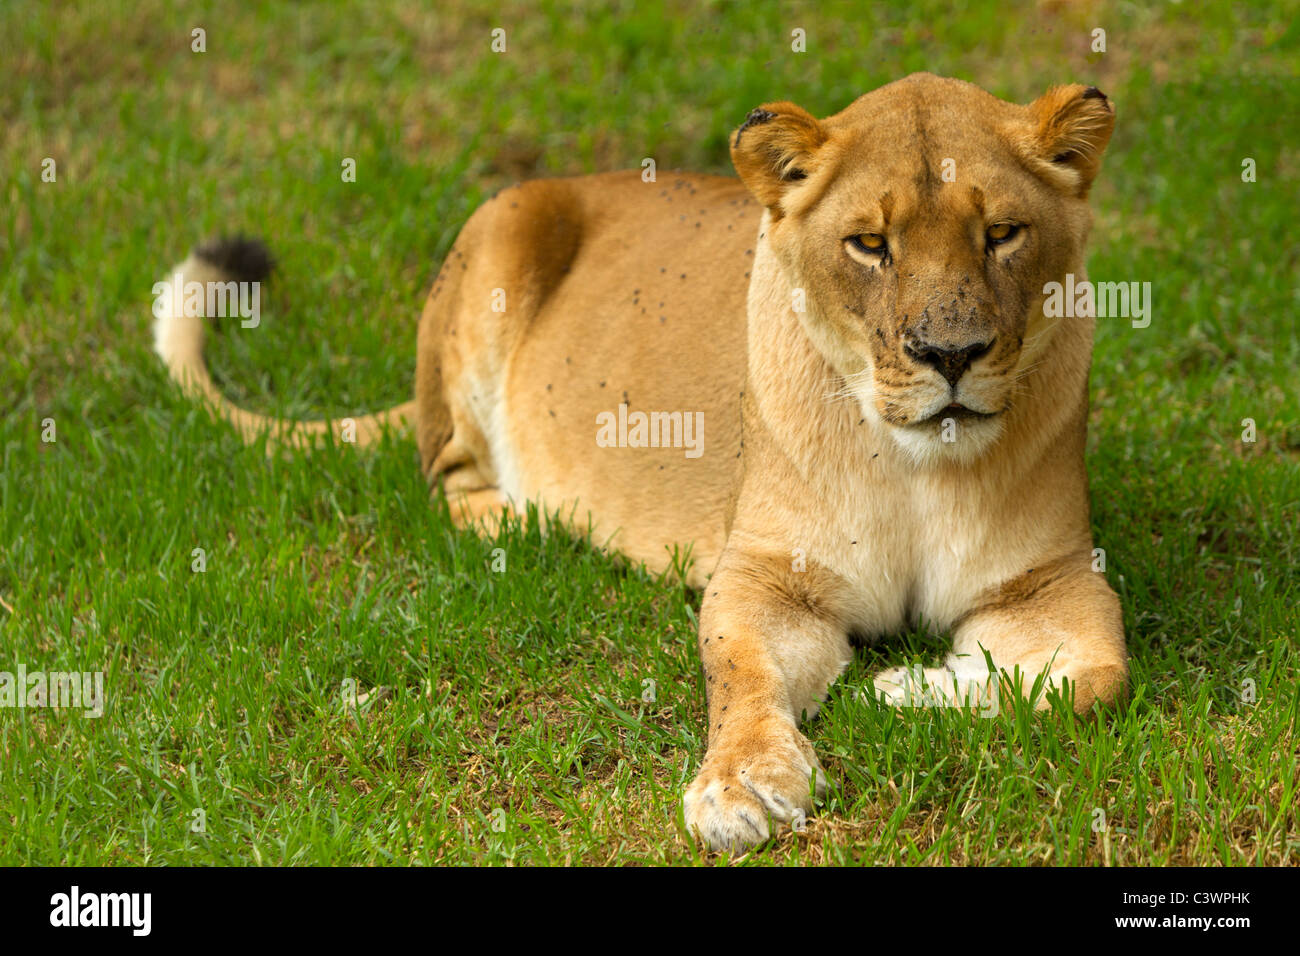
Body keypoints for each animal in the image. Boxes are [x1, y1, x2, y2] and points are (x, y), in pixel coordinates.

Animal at [153, 73, 1127, 853]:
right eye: (870, 244)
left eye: (1002, 232)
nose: (950, 354)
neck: (915, 467)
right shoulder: (764, 575)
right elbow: (740, 676)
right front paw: (740, 787)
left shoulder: (1052, 577)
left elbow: (1096, 678)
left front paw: (912, 685)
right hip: (502, 229)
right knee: (449, 477)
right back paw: (538, 522)